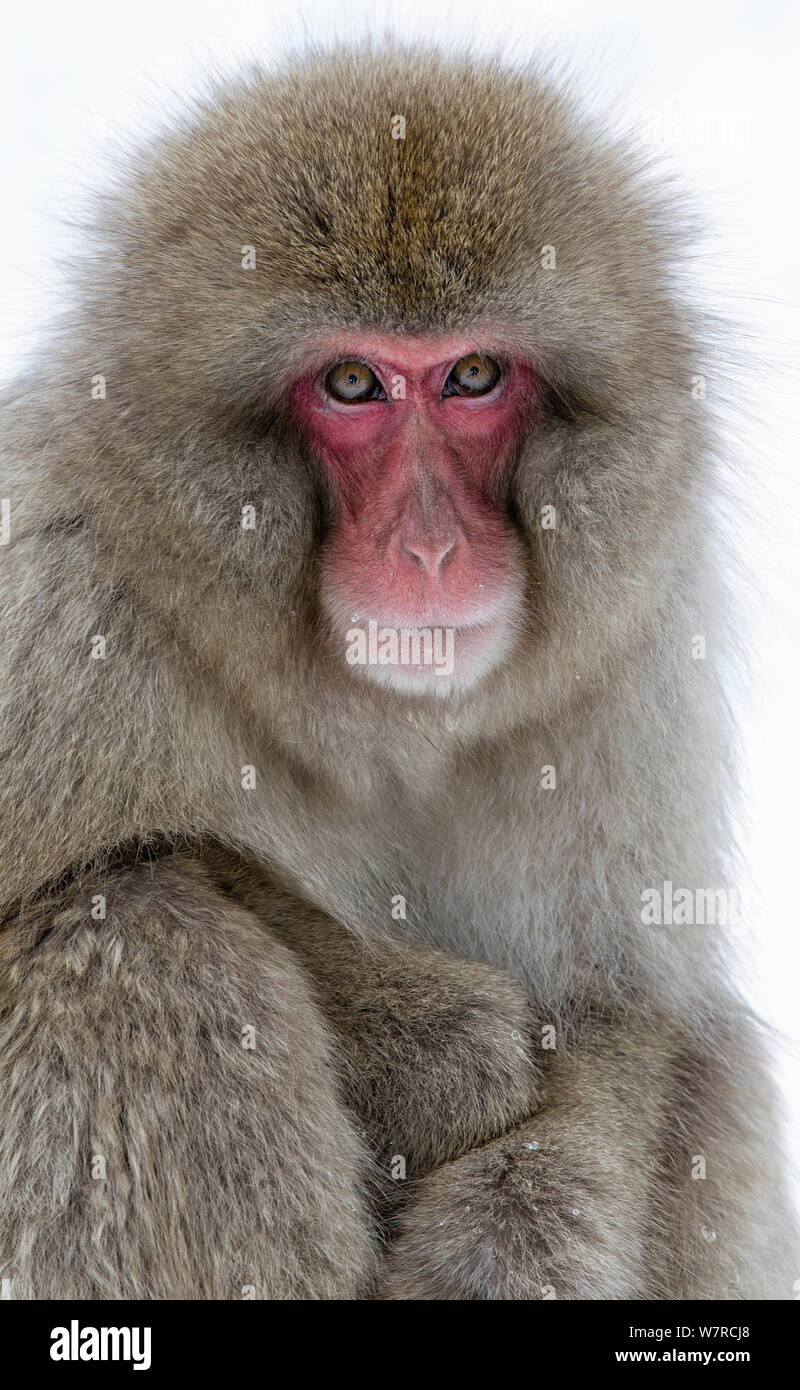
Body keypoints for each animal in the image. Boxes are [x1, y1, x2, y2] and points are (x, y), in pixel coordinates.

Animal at [0, 44, 796, 1301]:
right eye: (351, 386)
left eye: (470, 374)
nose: (427, 548)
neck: (380, 722)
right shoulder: (54, 595)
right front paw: (437, 1039)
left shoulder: (630, 673)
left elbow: (630, 1017)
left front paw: (509, 1235)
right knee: (138, 934)